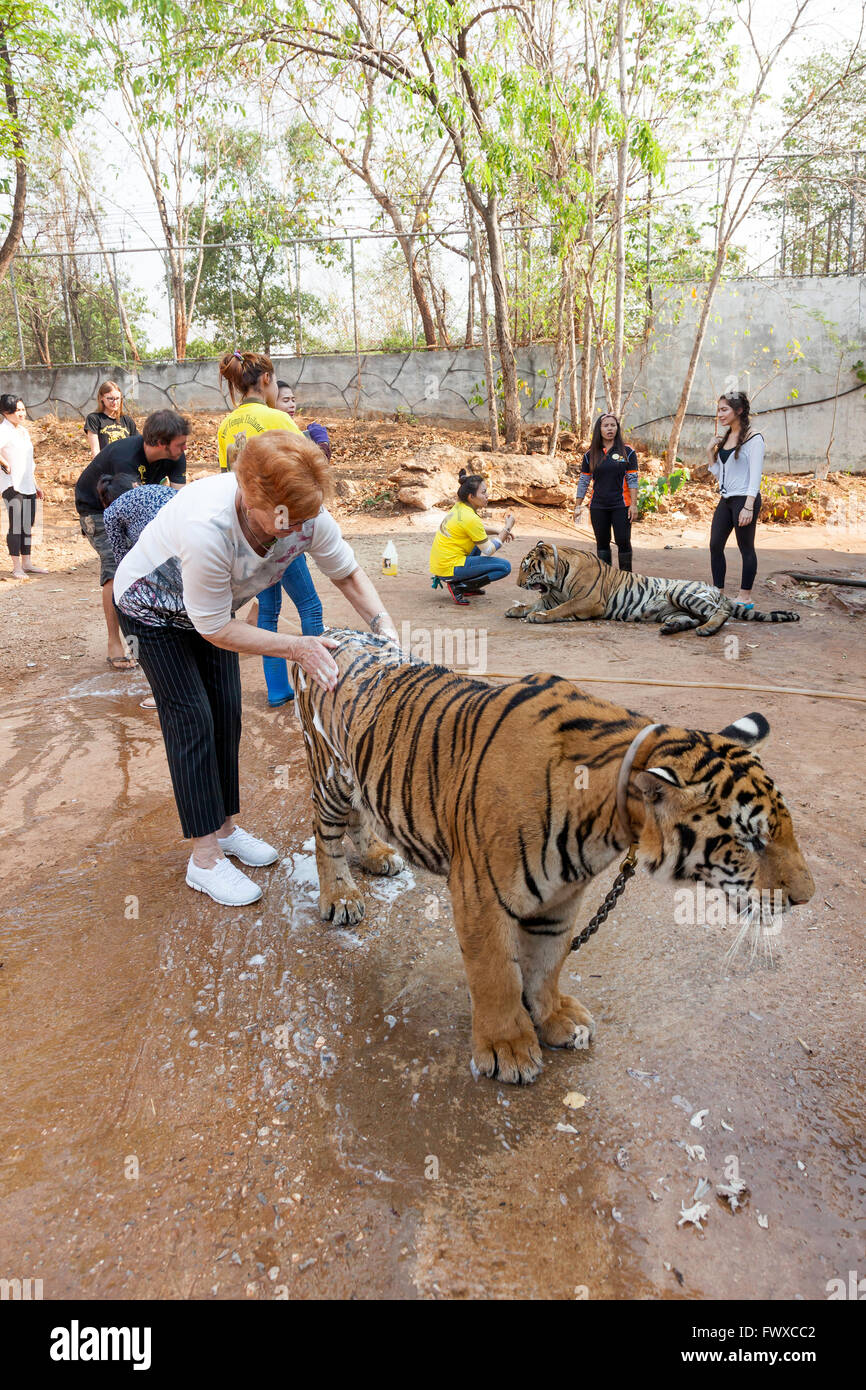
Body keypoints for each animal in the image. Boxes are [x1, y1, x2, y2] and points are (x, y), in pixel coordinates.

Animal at [291, 630, 814, 1085]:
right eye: (750, 840)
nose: (806, 898)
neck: (608, 822)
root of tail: (331, 633)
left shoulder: (562, 897)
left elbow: (547, 963)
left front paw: (556, 1019)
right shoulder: (480, 894)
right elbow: (497, 974)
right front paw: (508, 1048)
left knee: (361, 814)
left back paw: (379, 855)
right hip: (330, 773)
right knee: (325, 833)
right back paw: (340, 898)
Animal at [506, 541, 800, 635]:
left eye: (527, 568)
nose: (518, 583)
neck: (557, 578)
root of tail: (718, 590)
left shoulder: (588, 600)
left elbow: (560, 609)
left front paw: (538, 617)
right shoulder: (551, 597)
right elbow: (534, 603)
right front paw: (515, 609)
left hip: (681, 593)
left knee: (720, 614)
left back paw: (707, 629)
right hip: (674, 608)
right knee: (693, 618)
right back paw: (672, 628)